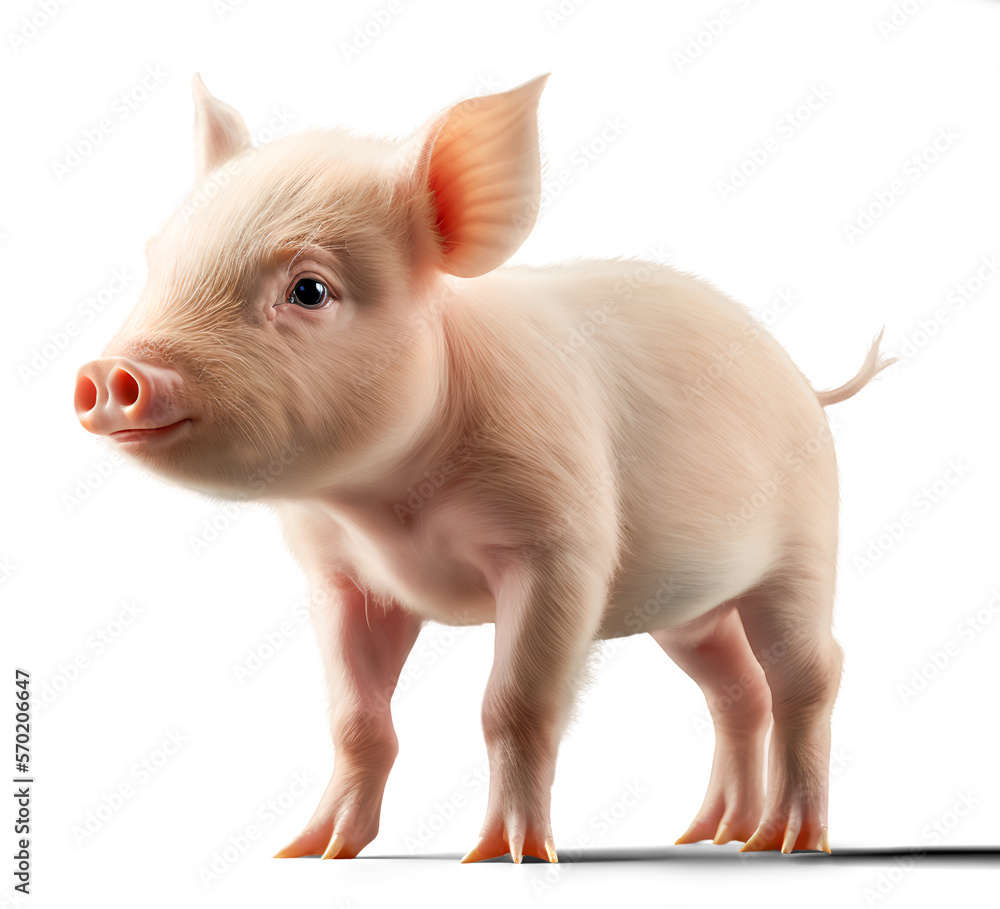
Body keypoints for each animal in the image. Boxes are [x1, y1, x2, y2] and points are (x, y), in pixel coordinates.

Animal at [74, 73, 894, 863]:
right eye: (155, 263)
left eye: (310, 289)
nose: (110, 372)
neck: (388, 509)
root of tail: (808, 384)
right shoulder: (338, 576)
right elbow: (356, 718)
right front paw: (312, 851)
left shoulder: (561, 543)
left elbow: (514, 705)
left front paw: (507, 857)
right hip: (691, 610)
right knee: (737, 689)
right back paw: (708, 835)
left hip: (805, 544)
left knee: (810, 674)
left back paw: (788, 841)